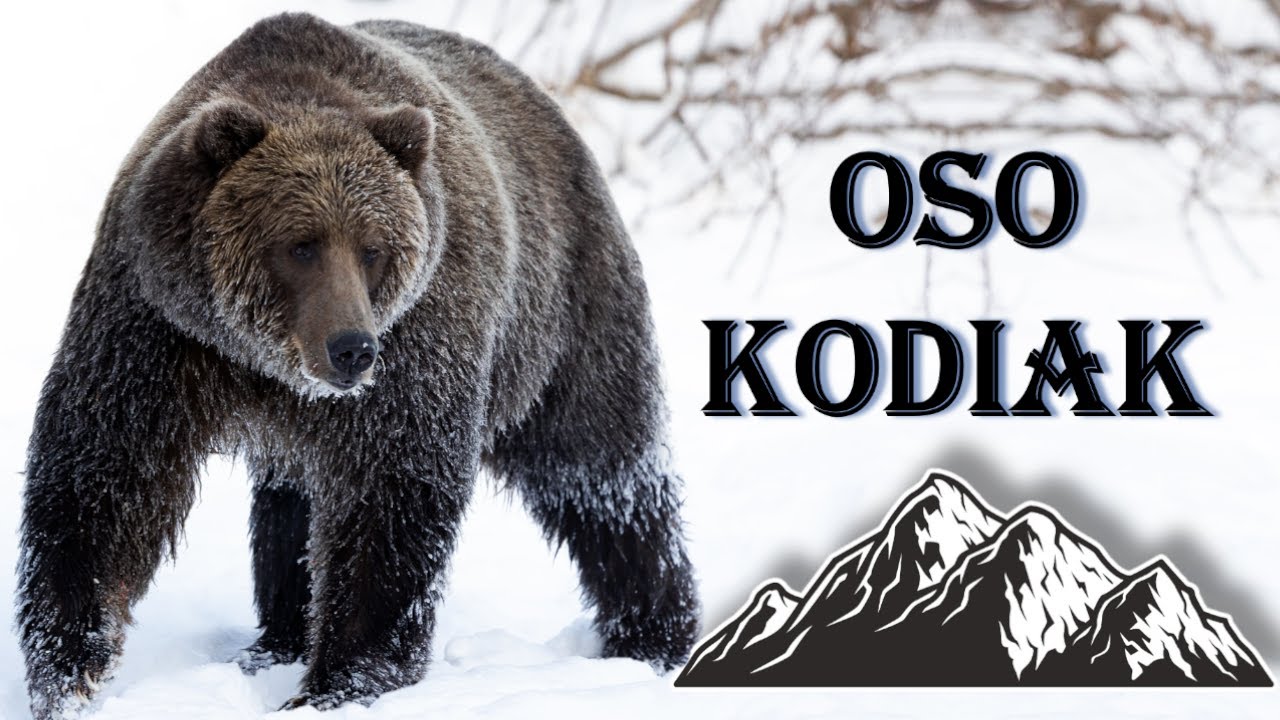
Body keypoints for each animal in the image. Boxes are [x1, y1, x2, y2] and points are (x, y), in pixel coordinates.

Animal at [16, 12, 699, 718]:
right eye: (300, 244)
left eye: (373, 248)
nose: (352, 348)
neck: (264, 364)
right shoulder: (156, 327)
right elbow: (107, 478)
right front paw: (71, 667)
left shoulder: (419, 340)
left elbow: (389, 497)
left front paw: (342, 678)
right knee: (290, 505)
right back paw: (279, 637)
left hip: (560, 313)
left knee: (601, 468)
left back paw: (651, 634)